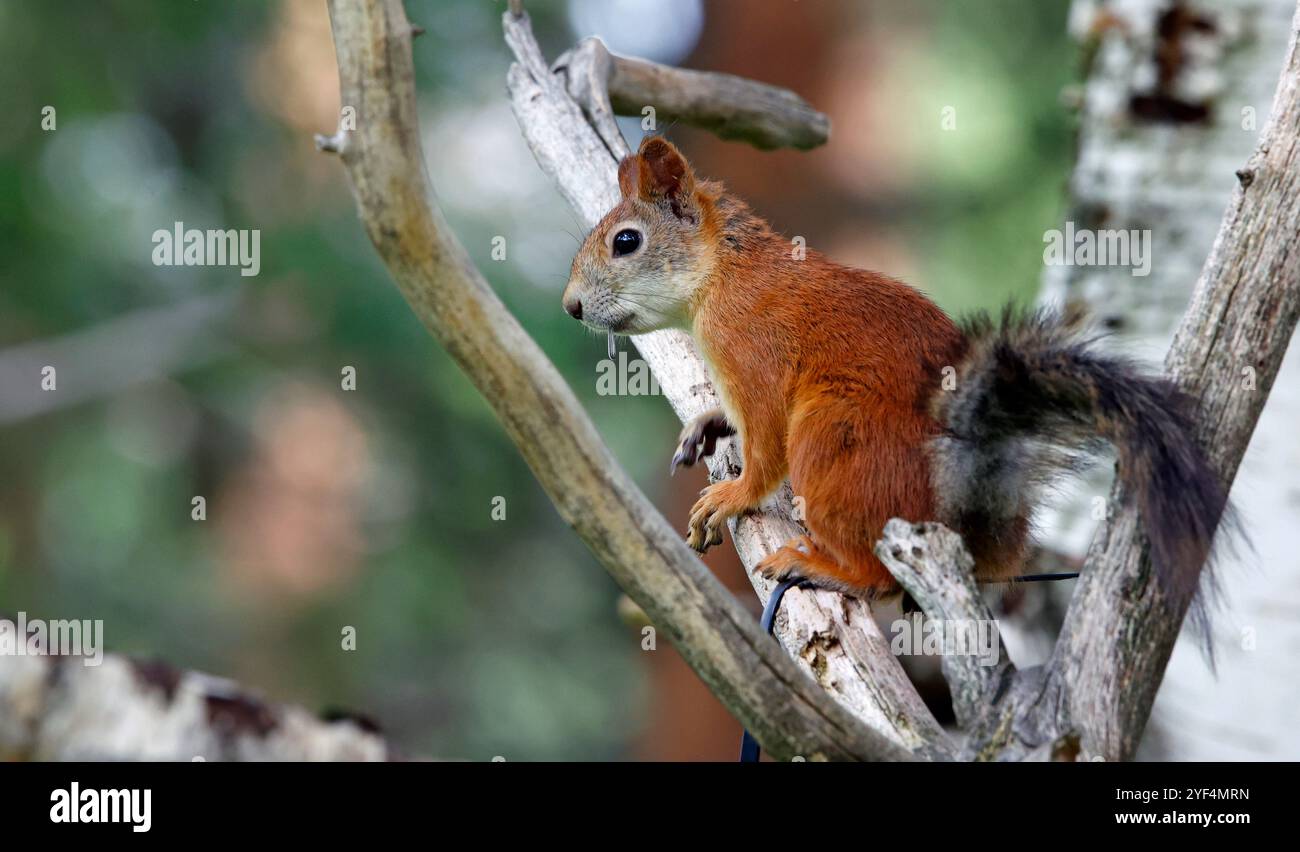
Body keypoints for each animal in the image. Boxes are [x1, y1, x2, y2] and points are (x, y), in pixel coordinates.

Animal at [563, 136, 1228, 611]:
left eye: (627, 242)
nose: (571, 306)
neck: (724, 274)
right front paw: (706, 423)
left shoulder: (751, 355)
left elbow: (765, 445)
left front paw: (733, 495)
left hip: (835, 438)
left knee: (876, 575)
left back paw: (819, 565)